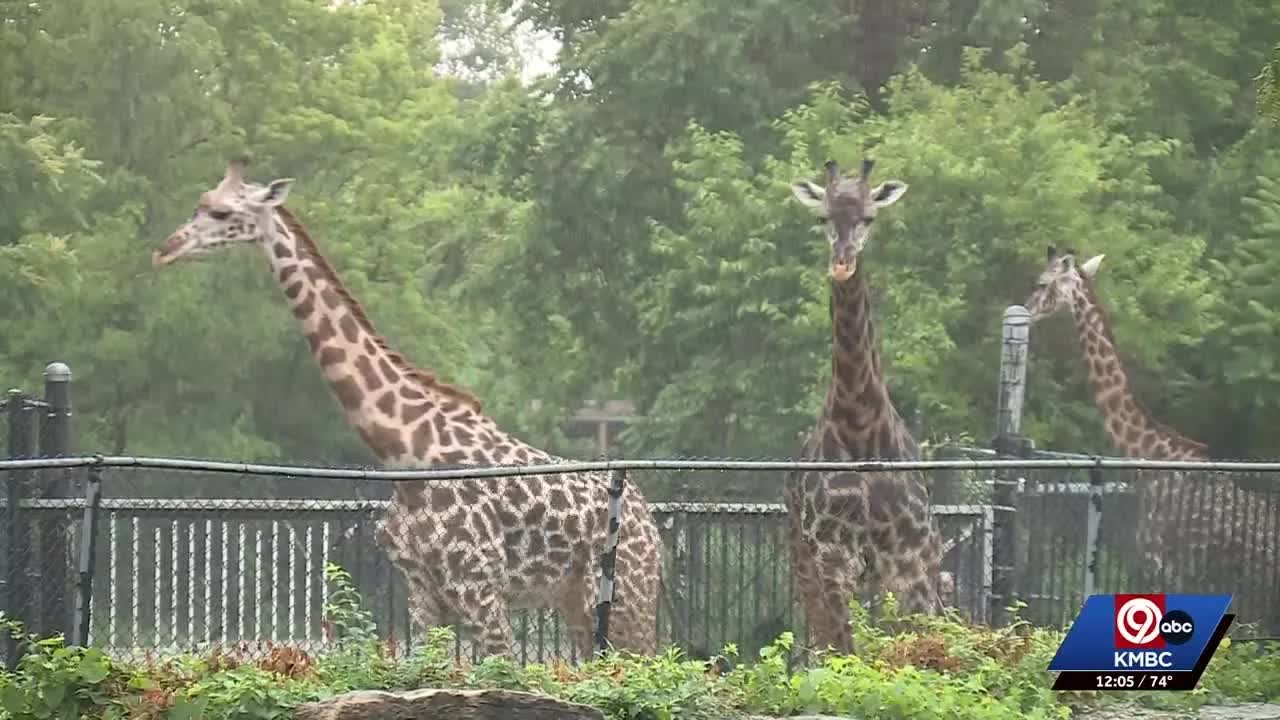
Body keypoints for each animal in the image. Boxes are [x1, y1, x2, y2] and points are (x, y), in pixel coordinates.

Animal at [152, 160, 663, 660]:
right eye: (200, 202)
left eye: (220, 212)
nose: (165, 250)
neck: (403, 448)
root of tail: (652, 528)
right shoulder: (423, 591)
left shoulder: (479, 587)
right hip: (577, 602)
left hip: (625, 597)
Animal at [786, 158, 947, 654]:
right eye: (823, 217)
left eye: (868, 218)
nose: (842, 264)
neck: (859, 424)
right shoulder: (833, 558)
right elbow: (848, 651)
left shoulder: (911, 558)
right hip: (806, 564)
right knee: (822, 642)